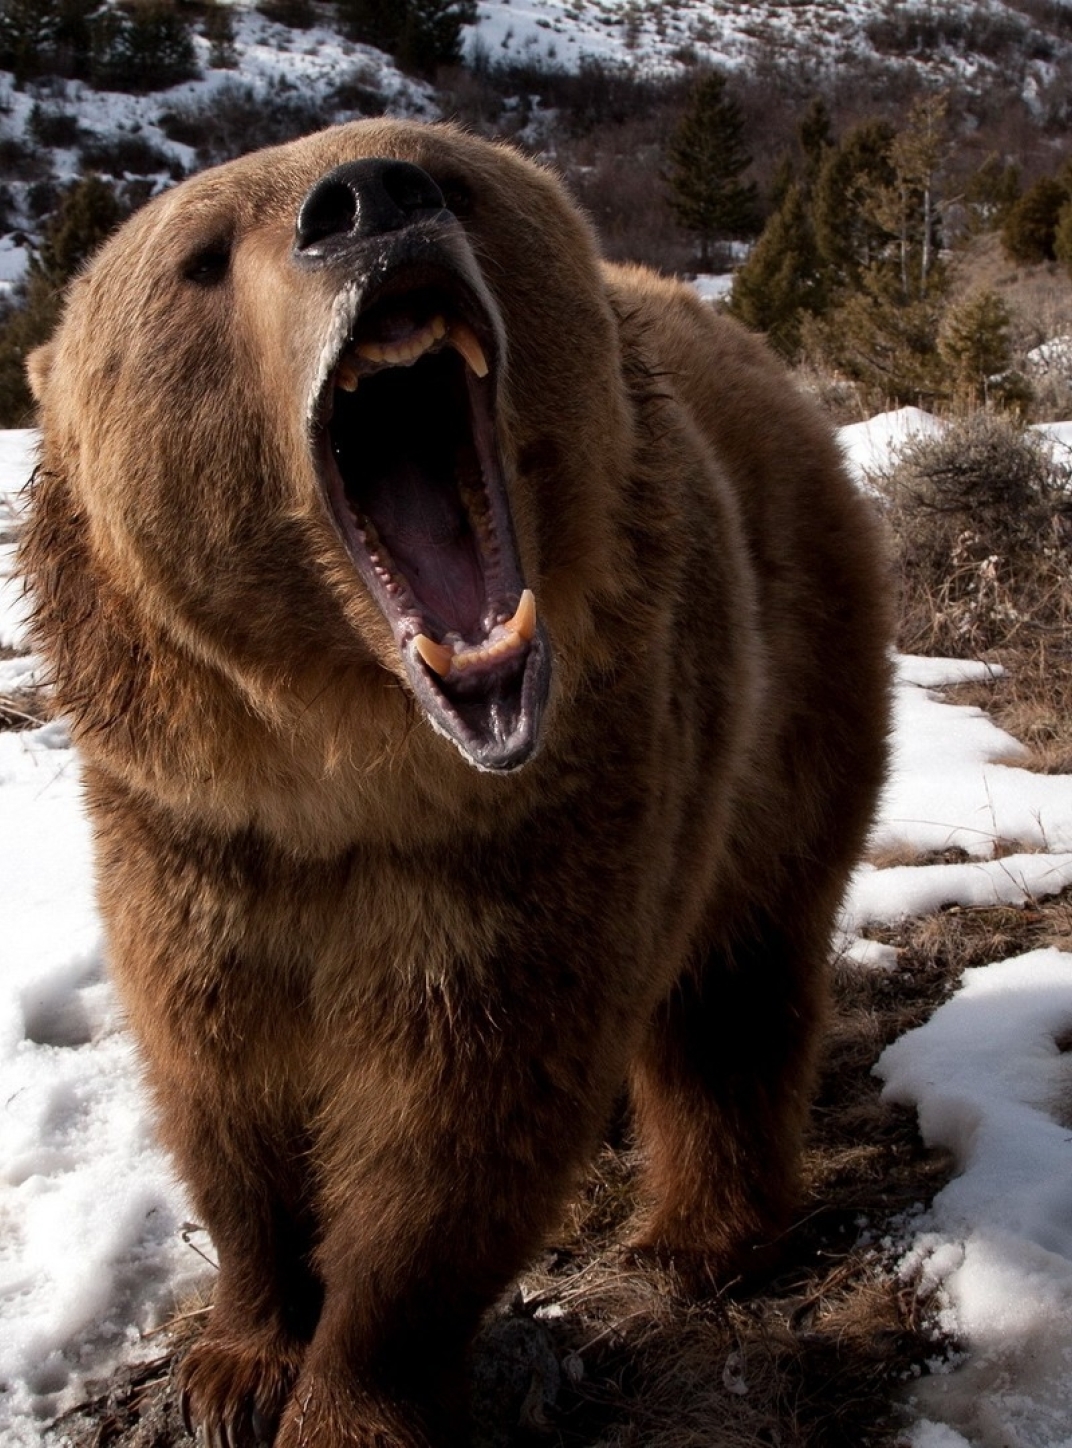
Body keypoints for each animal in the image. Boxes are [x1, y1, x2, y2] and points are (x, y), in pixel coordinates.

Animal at [20, 120, 890, 1448]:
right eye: (200, 256)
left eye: (448, 173)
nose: (369, 200)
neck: (346, 770)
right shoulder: (193, 840)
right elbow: (223, 1089)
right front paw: (237, 1359)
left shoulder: (528, 839)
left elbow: (456, 1130)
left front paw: (346, 1397)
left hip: (786, 694)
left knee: (735, 982)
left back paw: (695, 1237)